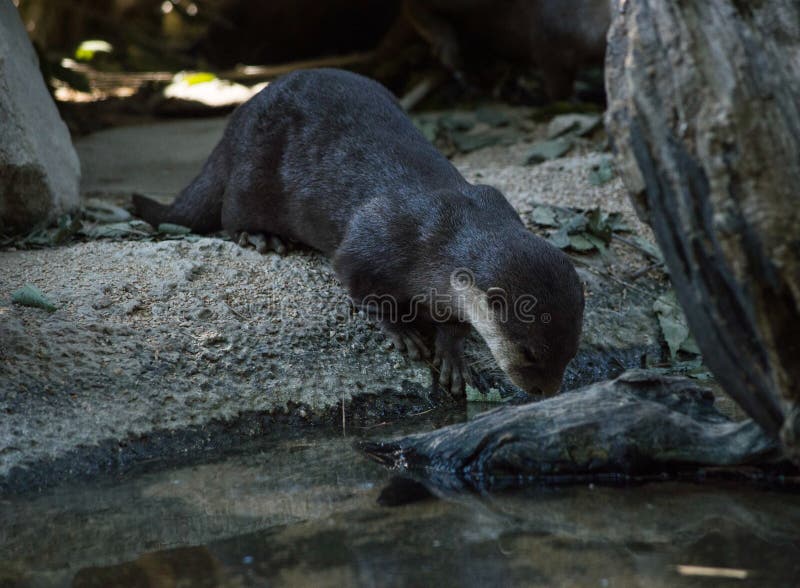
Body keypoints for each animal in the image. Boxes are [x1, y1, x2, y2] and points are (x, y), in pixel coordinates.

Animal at [133, 69, 584, 396]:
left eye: (570, 353)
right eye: (529, 353)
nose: (546, 392)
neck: (441, 238)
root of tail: (237, 119)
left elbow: (455, 323)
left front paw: (453, 353)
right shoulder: (374, 242)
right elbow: (361, 287)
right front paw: (402, 332)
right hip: (252, 174)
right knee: (230, 213)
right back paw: (261, 237)